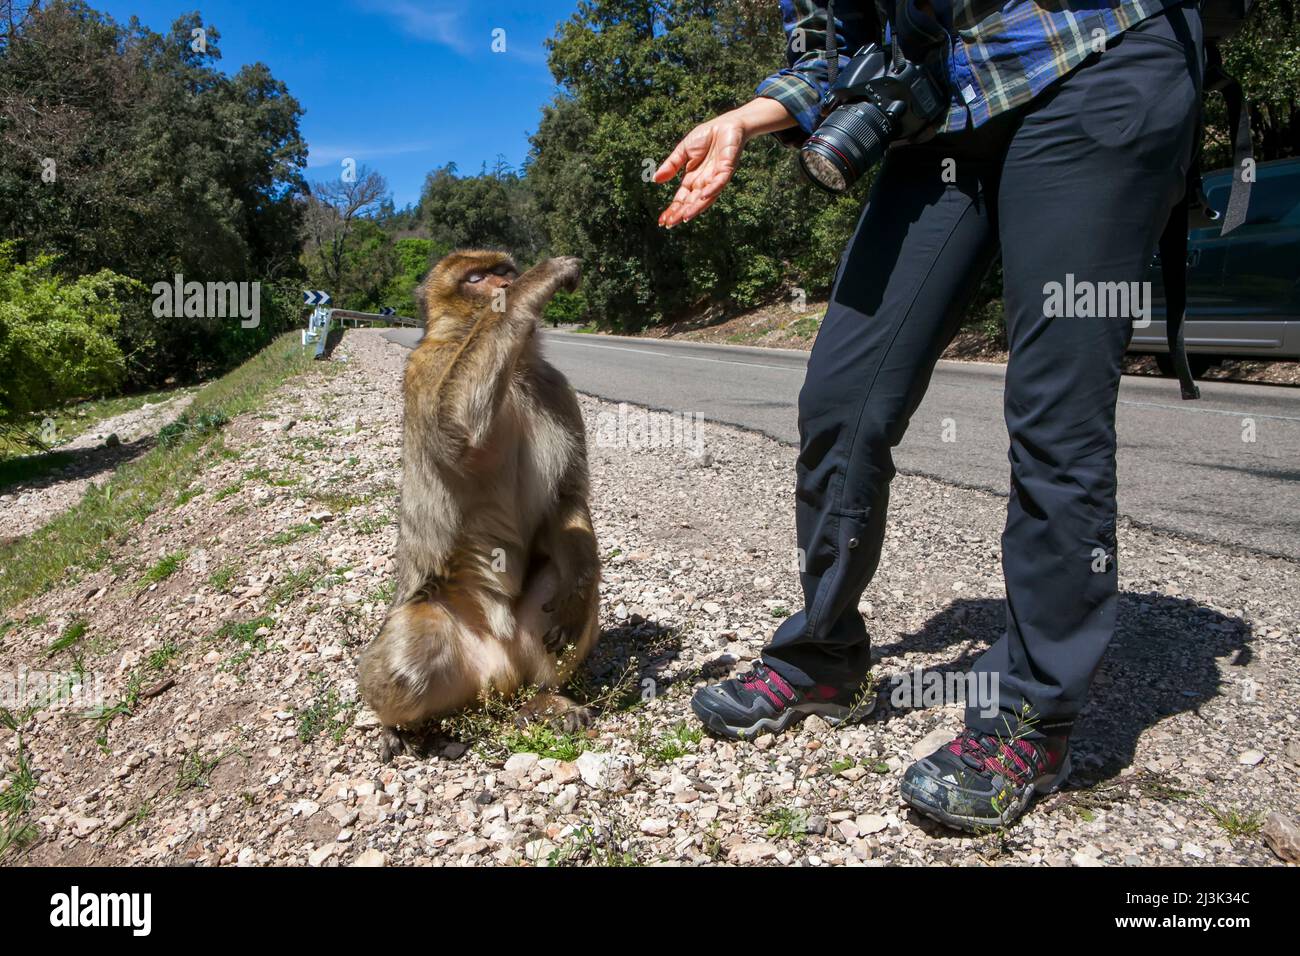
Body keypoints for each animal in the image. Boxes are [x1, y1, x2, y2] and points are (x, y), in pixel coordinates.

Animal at [357, 250, 601, 760]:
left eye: (502, 269)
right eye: (476, 278)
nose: (504, 283)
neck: (515, 368)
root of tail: (499, 675)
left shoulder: (555, 387)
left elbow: (566, 497)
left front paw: (576, 594)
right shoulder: (427, 368)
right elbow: (457, 430)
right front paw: (532, 288)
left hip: (523, 651)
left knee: (562, 581)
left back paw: (547, 697)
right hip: (451, 650)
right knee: (406, 657)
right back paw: (393, 725)